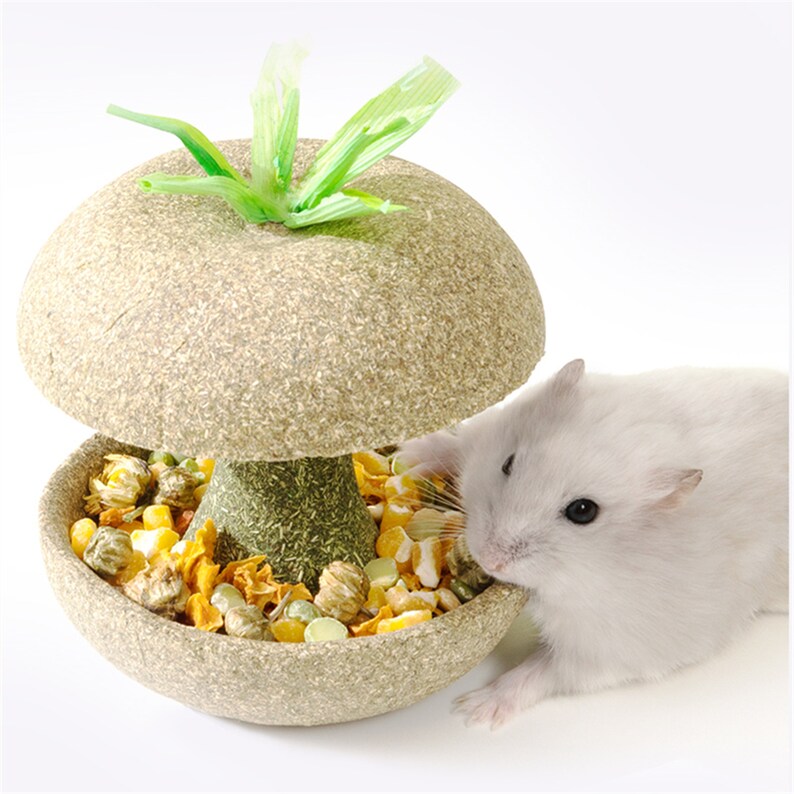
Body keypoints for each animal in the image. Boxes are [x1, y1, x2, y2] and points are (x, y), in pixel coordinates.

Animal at [399, 360, 789, 728]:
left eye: (583, 511)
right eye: (508, 463)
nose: (489, 559)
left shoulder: (611, 648)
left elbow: (544, 671)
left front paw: (471, 711)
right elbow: (462, 443)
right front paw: (409, 455)